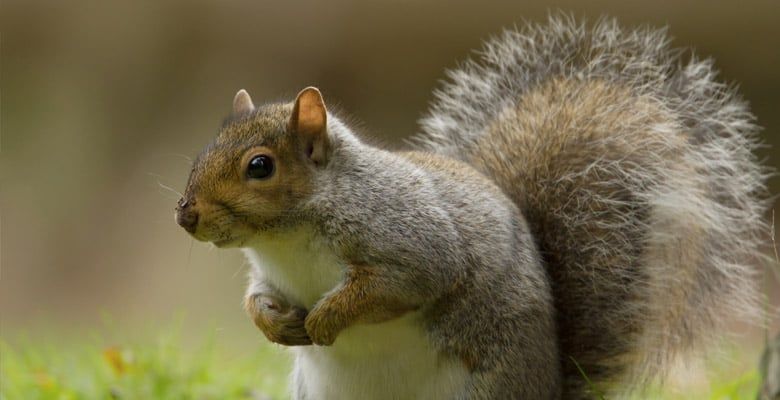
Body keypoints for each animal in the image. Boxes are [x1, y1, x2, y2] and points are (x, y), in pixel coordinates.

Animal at [175, 15, 770, 399]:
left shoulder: (408, 236)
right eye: (205, 146)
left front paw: (327, 316)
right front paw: (275, 324)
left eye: (260, 166)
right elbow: (257, 298)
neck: (286, 238)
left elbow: (406, 280)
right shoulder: (269, 274)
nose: (186, 214)